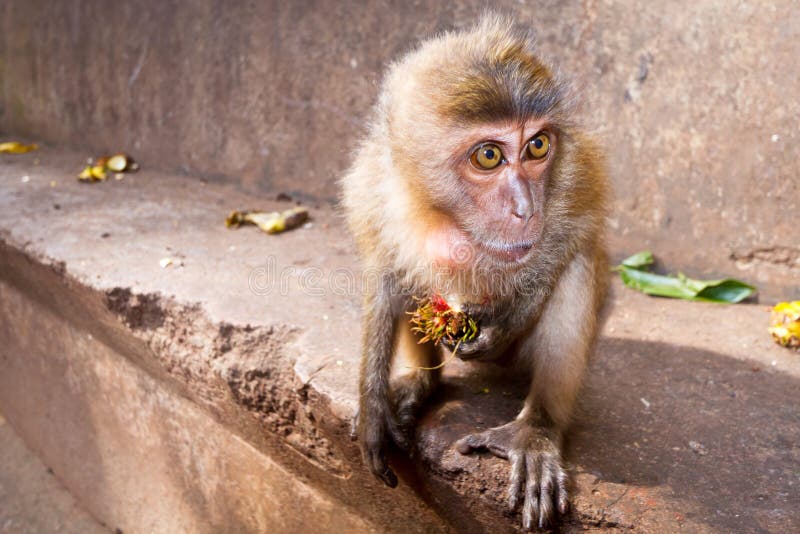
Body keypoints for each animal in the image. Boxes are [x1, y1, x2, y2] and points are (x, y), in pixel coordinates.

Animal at [341, 15, 608, 530]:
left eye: (537, 145)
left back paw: (535, 430)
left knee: (576, 268)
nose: (526, 209)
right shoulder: (374, 185)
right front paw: (372, 403)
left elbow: (577, 233)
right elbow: (384, 273)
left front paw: (506, 320)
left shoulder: (574, 170)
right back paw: (422, 381)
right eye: (489, 156)